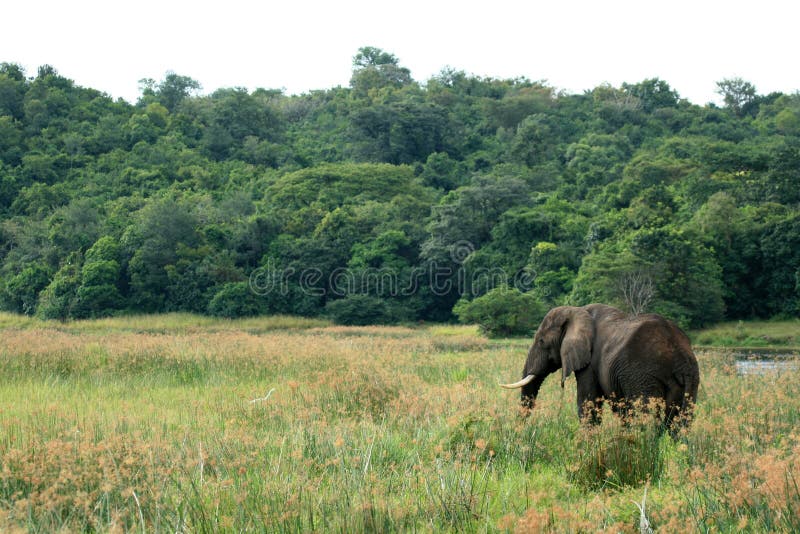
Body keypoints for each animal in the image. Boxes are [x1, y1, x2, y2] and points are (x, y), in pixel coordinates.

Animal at [500, 304, 699, 433]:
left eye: (541, 341)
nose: (518, 431)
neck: (576, 310)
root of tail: (680, 358)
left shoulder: (590, 362)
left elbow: (587, 403)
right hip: (690, 381)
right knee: (679, 422)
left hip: (643, 376)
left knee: (645, 416)